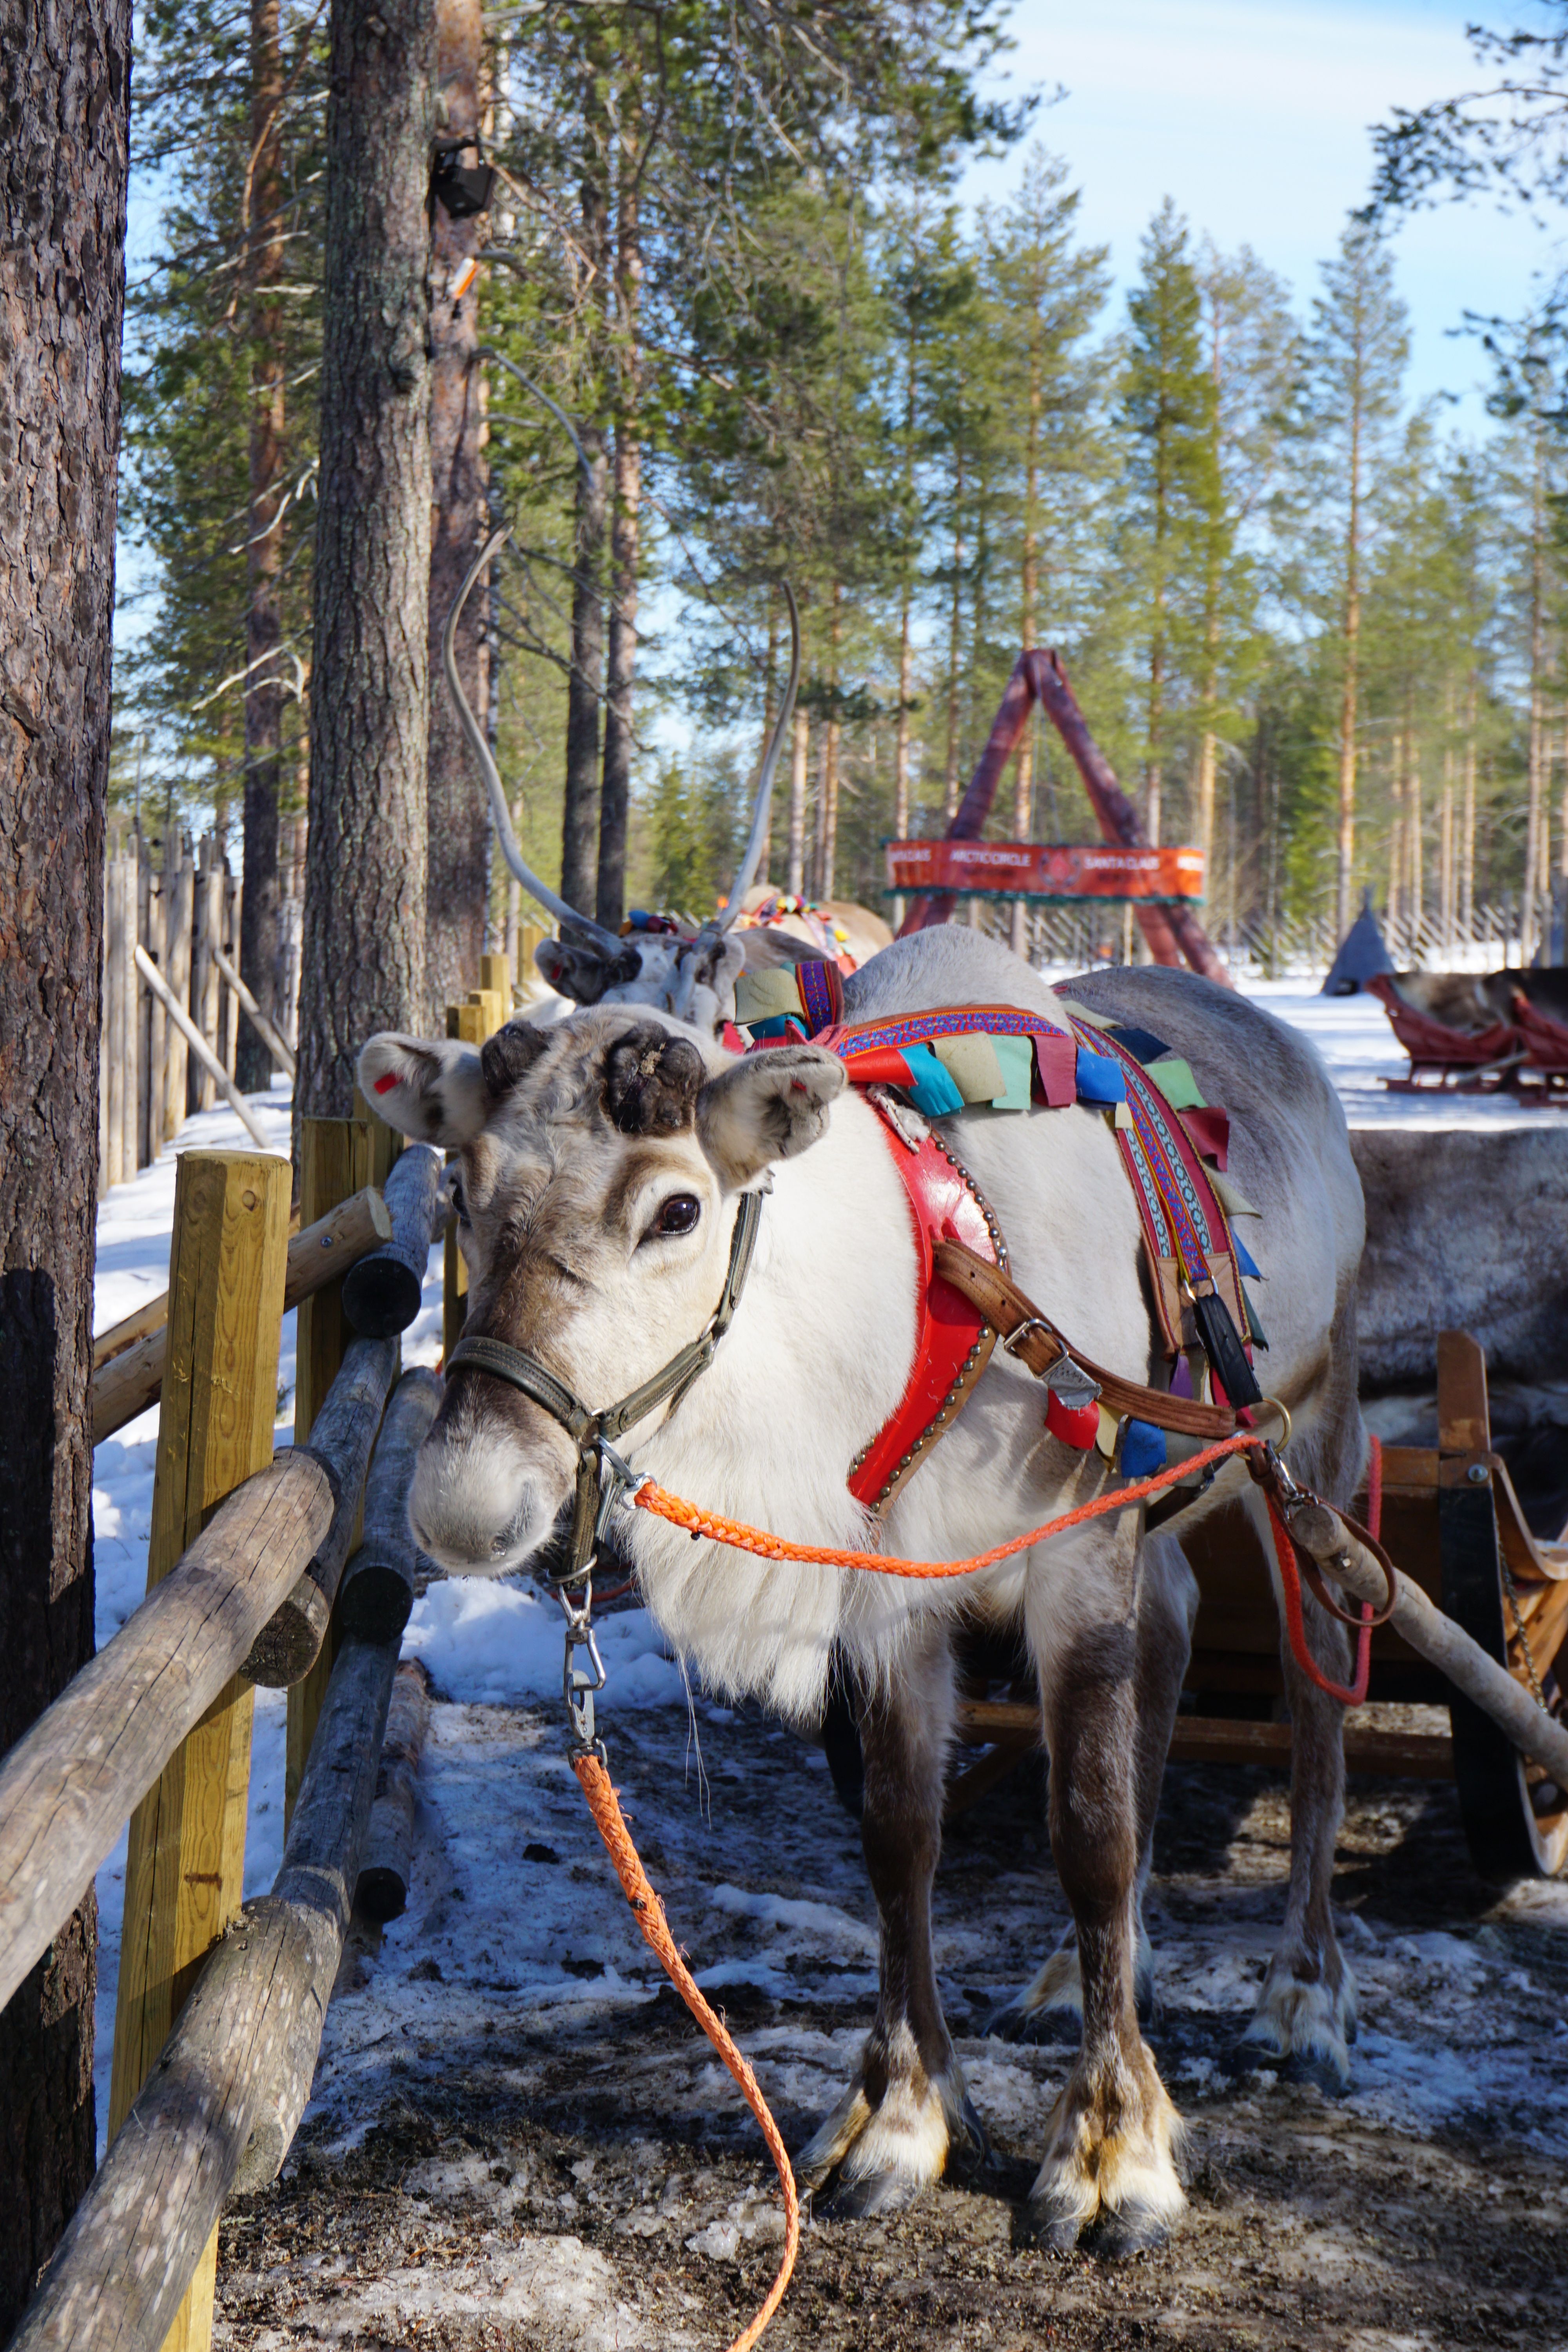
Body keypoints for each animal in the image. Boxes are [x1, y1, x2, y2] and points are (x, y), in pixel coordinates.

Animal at [358, 921, 1368, 2254]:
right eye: (460, 1191)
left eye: (676, 1208)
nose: (465, 1505)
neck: (917, 1294)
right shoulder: (889, 1595)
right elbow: (897, 1836)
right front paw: (900, 2118)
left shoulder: (1074, 1553)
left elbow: (1089, 1833)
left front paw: (1113, 2149)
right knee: (1178, 1636)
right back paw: (1071, 1974)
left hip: (1303, 1439)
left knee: (1315, 1692)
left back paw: (1304, 1993)